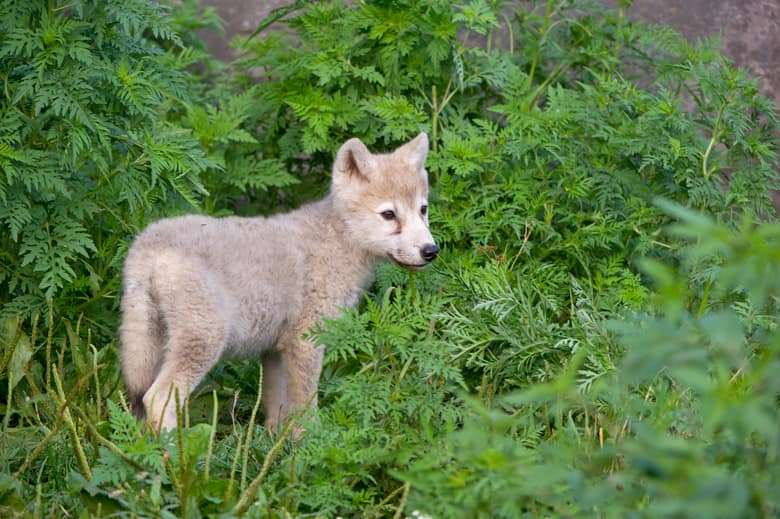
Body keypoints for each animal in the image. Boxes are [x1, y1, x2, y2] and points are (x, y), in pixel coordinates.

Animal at [119, 133, 437, 433]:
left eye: (422, 210)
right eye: (389, 215)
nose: (430, 250)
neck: (335, 241)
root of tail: (147, 244)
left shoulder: (274, 351)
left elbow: (277, 414)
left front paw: (274, 449)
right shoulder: (306, 343)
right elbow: (305, 413)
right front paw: (311, 446)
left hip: (152, 349)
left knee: (140, 407)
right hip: (203, 341)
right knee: (156, 400)